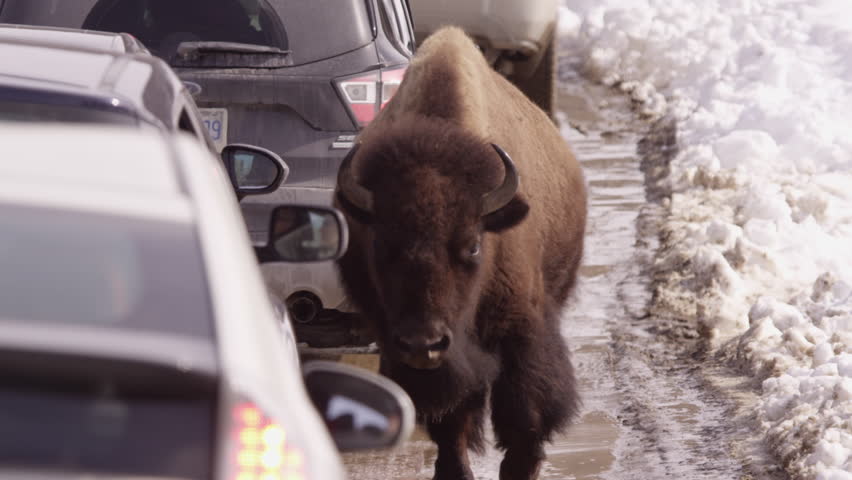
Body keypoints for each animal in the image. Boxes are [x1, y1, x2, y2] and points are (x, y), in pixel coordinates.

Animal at [334, 27, 587, 480]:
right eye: (381, 245)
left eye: (472, 245)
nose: (424, 342)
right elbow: (450, 419)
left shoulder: (522, 327)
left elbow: (525, 414)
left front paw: (523, 466)